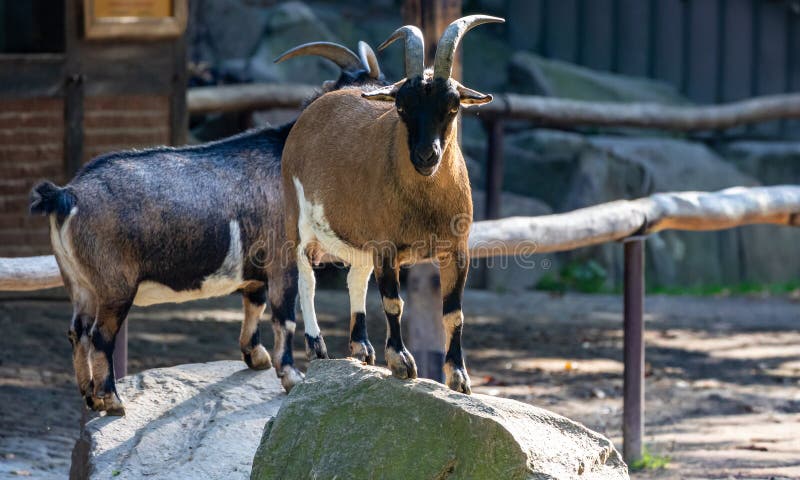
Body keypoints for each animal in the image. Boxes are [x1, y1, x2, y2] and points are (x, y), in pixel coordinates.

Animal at [29, 41, 387, 414]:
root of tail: (67, 195)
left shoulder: (255, 266)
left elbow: (254, 304)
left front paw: (256, 357)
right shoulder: (283, 259)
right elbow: (284, 316)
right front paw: (290, 375)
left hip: (79, 283)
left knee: (77, 331)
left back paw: (91, 396)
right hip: (114, 286)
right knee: (99, 336)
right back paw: (113, 400)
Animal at [281, 15, 503, 394]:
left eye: (453, 106)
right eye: (401, 106)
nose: (426, 155)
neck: (425, 206)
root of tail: (312, 110)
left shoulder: (456, 249)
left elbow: (453, 312)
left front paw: (458, 377)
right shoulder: (387, 247)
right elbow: (393, 302)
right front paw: (401, 362)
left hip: (357, 239)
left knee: (355, 277)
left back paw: (361, 349)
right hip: (298, 219)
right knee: (305, 277)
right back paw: (318, 347)